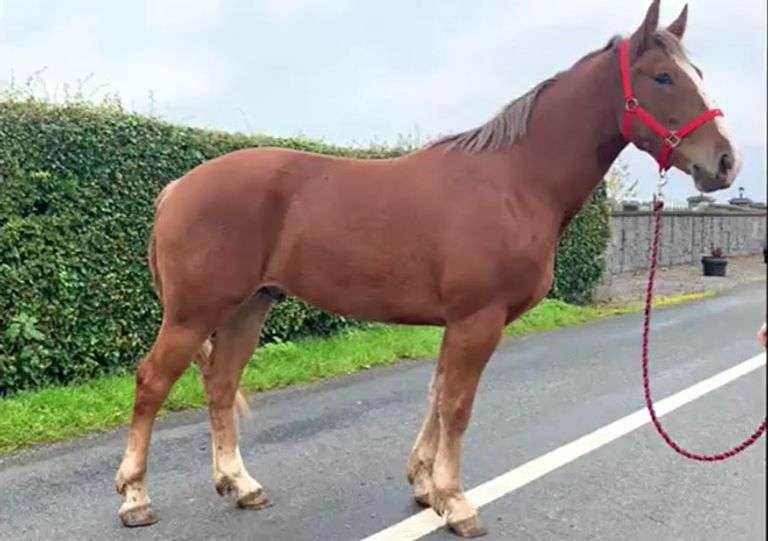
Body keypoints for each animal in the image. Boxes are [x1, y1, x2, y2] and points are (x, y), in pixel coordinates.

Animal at [115, 1, 739, 537]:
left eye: (697, 71)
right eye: (663, 77)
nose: (725, 162)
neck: (515, 182)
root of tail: (177, 188)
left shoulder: (458, 323)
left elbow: (437, 396)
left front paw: (424, 486)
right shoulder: (477, 320)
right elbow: (457, 407)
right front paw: (456, 502)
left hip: (249, 306)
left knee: (221, 385)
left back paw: (240, 485)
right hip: (194, 314)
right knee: (151, 382)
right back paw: (136, 498)